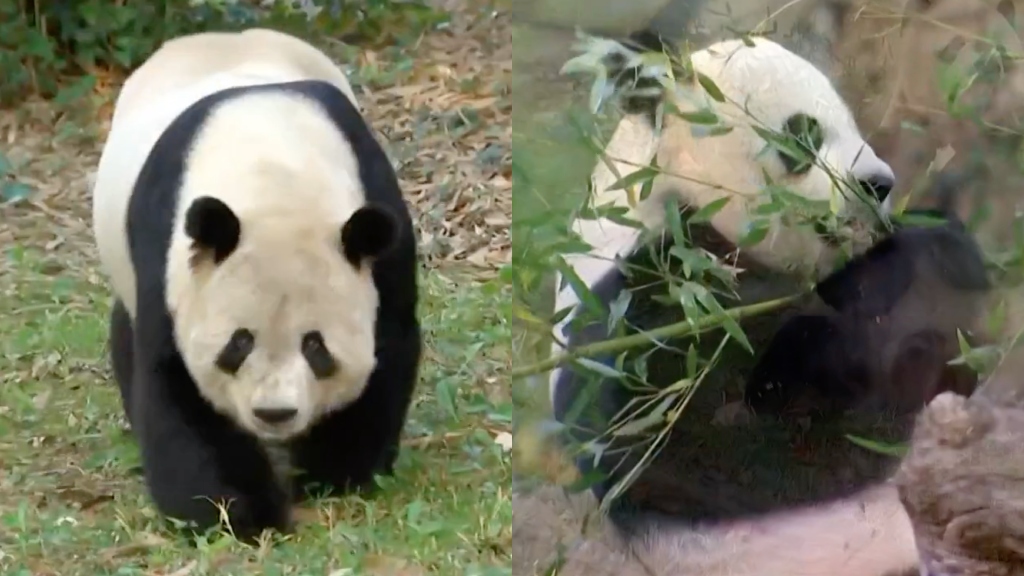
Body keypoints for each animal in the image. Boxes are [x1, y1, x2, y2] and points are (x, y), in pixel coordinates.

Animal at [90, 29, 421, 540]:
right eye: (239, 343)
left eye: (316, 347)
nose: (274, 414)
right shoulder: (166, 253)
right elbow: (174, 384)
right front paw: (236, 511)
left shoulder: (379, 226)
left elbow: (388, 344)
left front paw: (334, 474)